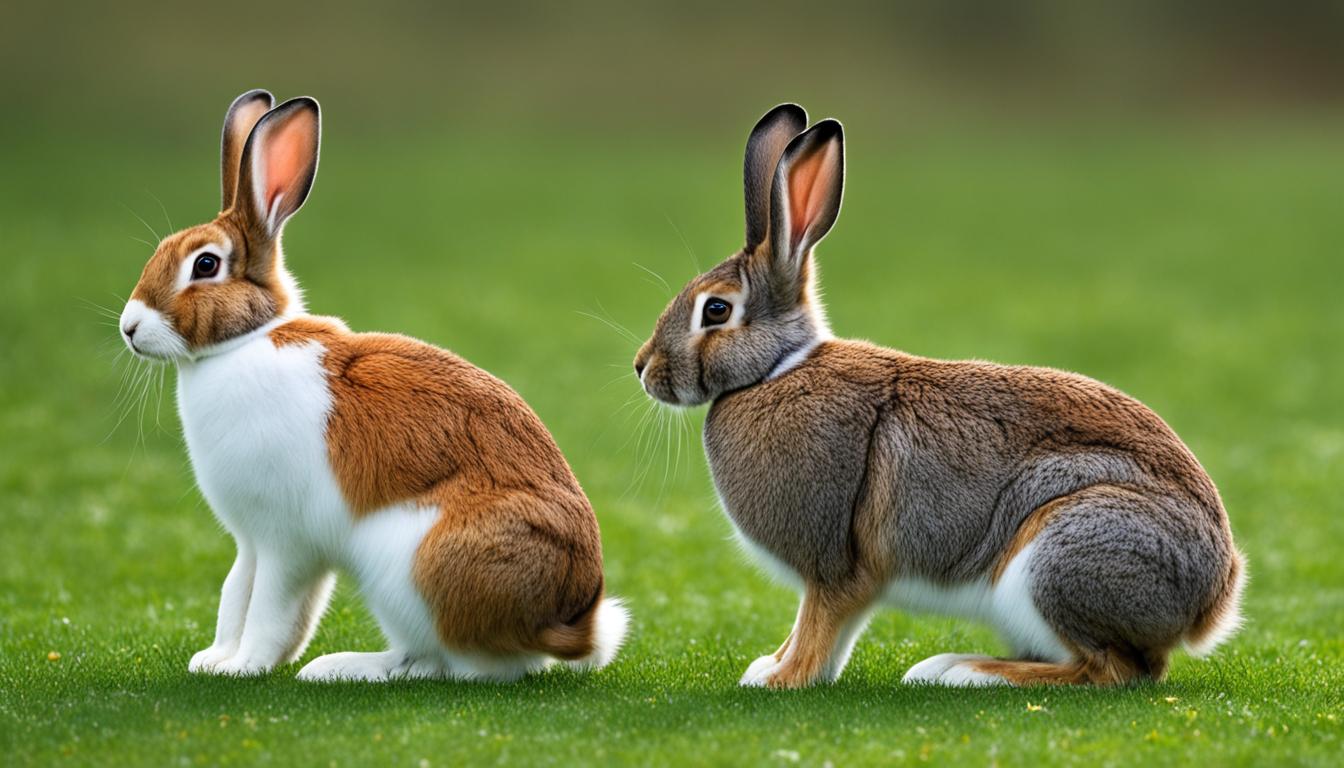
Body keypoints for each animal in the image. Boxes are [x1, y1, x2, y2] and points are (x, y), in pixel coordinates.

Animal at [118, 90, 627, 682]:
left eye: (205, 265)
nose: (129, 327)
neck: (245, 343)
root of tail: (565, 626)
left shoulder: (284, 541)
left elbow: (267, 608)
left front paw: (245, 666)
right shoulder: (251, 543)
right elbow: (236, 595)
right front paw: (215, 659)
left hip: (405, 568)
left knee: (446, 663)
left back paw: (335, 668)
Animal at [633, 103, 1244, 688]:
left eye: (716, 310)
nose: (643, 368)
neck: (776, 370)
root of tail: (1214, 596)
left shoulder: (833, 569)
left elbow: (818, 627)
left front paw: (783, 679)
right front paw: (770, 666)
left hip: (1056, 555)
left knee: (1111, 669)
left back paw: (963, 673)